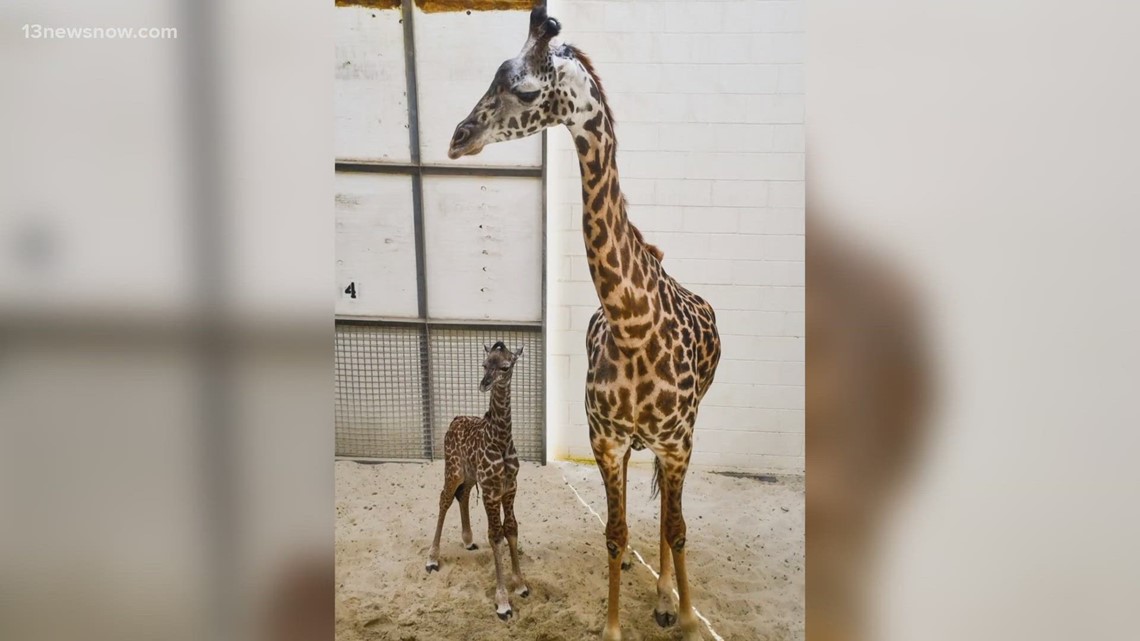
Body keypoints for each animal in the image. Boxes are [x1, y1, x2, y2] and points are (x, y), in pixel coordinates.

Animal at [426, 341, 530, 621]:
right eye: (484, 364)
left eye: (505, 366)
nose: (484, 383)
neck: (501, 440)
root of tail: (454, 420)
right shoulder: (492, 489)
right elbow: (496, 535)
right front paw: (503, 602)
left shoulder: (510, 487)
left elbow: (512, 528)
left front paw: (521, 585)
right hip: (453, 470)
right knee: (444, 498)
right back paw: (432, 559)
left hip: (470, 476)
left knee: (461, 496)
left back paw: (468, 540)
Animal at [447, 4, 721, 640]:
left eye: (523, 88)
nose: (458, 137)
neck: (634, 322)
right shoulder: (605, 440)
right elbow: (616, 533)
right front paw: (619, 625)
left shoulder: (679, 440)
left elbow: (677, 528)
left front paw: (687, 615)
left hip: (680, 436)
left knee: (669, 514)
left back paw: (667, 599)